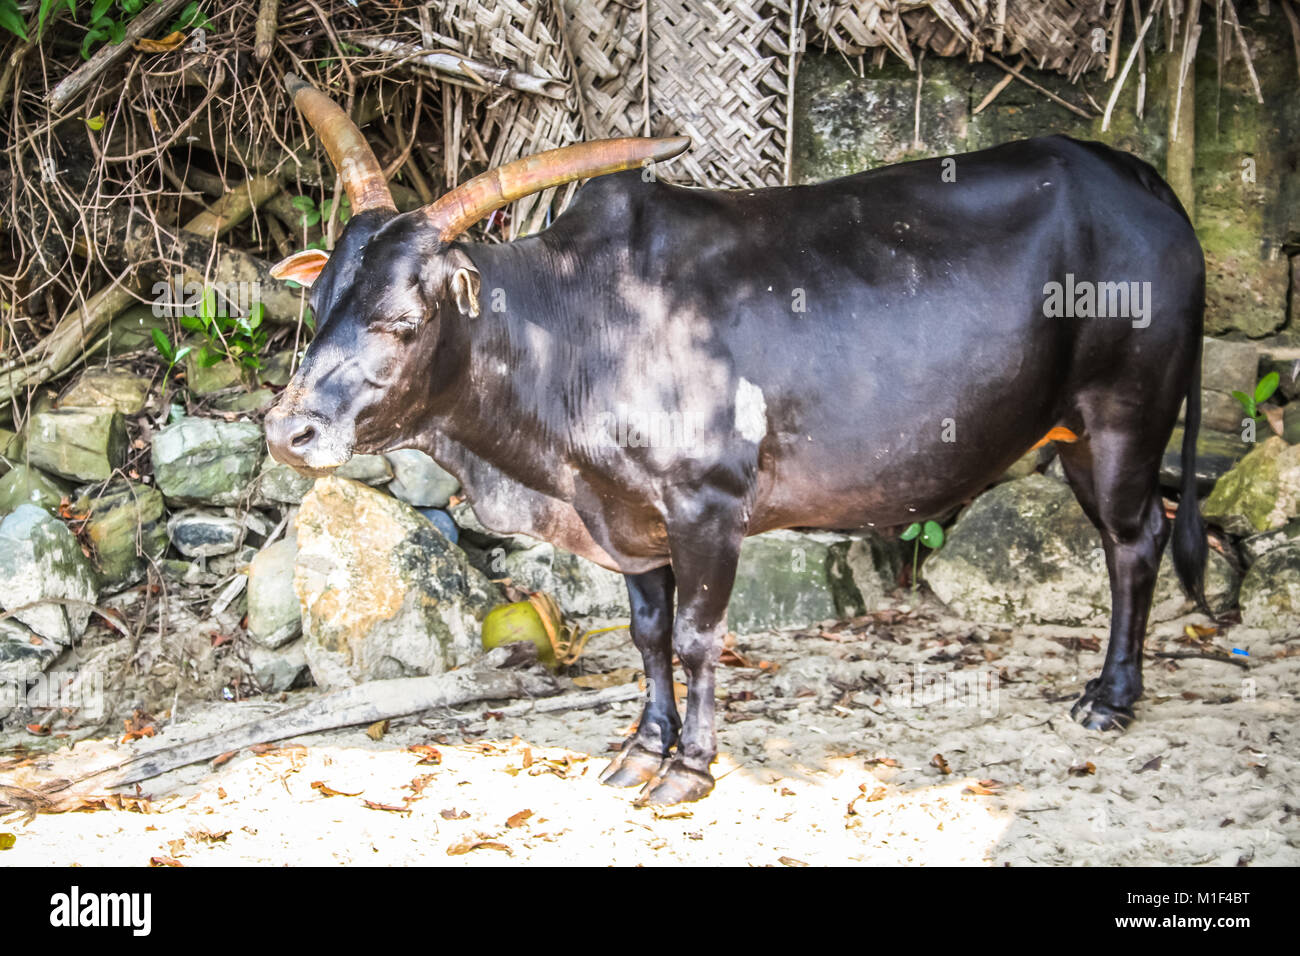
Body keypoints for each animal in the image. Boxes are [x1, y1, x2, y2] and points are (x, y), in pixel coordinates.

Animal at [264, 74, 1209, 805]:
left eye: (402, 319)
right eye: (323, 302)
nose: (287, 428)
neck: (572, 333)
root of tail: (1140, 176)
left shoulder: (707, 506)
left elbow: (695, 638)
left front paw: (689, 768)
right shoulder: (626, 517)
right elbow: (648, 635)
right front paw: (642, 748)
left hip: (1124, 419)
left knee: (1137, 542)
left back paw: (1111, 697)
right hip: (1078, 431)